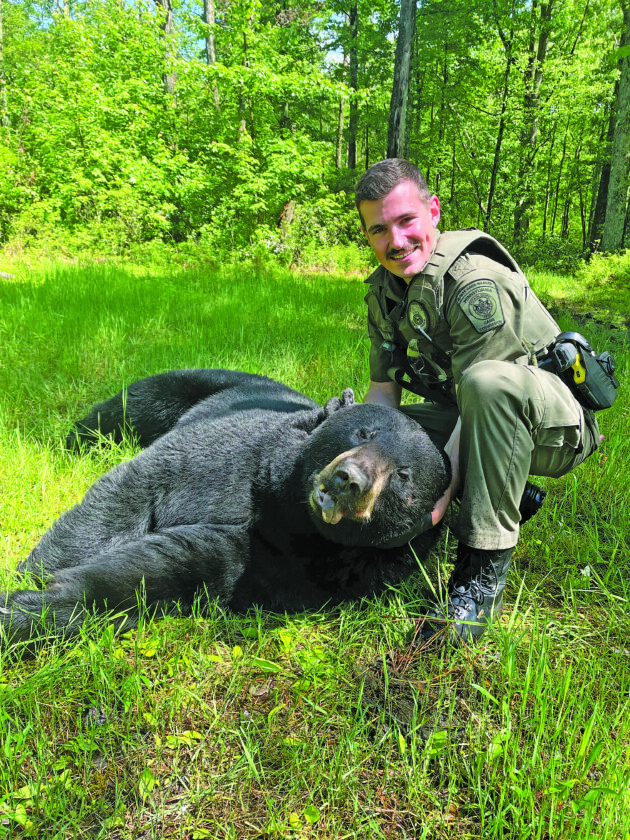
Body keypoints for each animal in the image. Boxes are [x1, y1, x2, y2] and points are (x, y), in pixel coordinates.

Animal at [1, 370, 450, 643]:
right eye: (364, 431)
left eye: (404, 476)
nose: (349, 479)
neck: (287, 511)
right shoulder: (232, 454)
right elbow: (129, 495)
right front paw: (28, 576)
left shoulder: (299, 561)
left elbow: (177, 568)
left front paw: (31, 607)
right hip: (196, 385)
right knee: (121, 410)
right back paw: (68, 442)